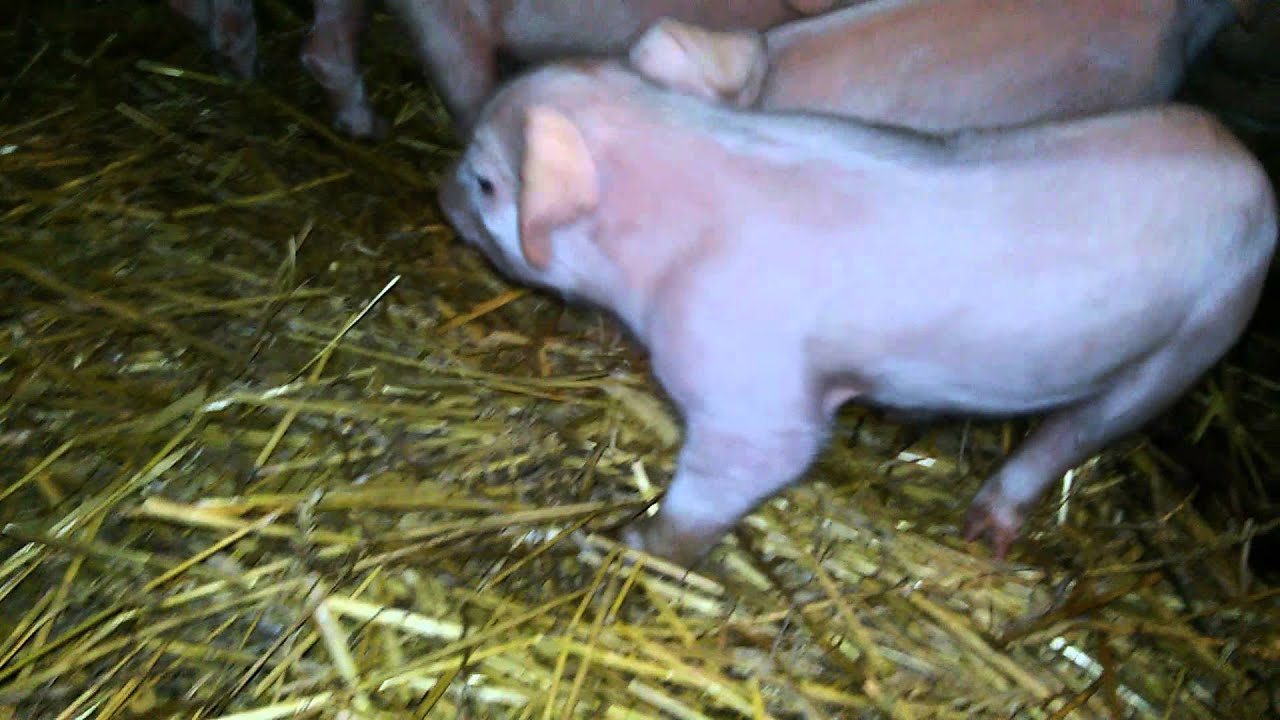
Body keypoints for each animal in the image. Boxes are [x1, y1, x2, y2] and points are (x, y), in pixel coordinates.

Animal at [438, 59, 1278, 567]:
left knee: (1073, 433)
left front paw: (632, 542)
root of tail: (1252, 171)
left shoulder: (749, 388)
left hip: (1198, 336)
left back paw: (985, 529)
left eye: (486, 181)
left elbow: (745, 468)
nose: (441, 197)